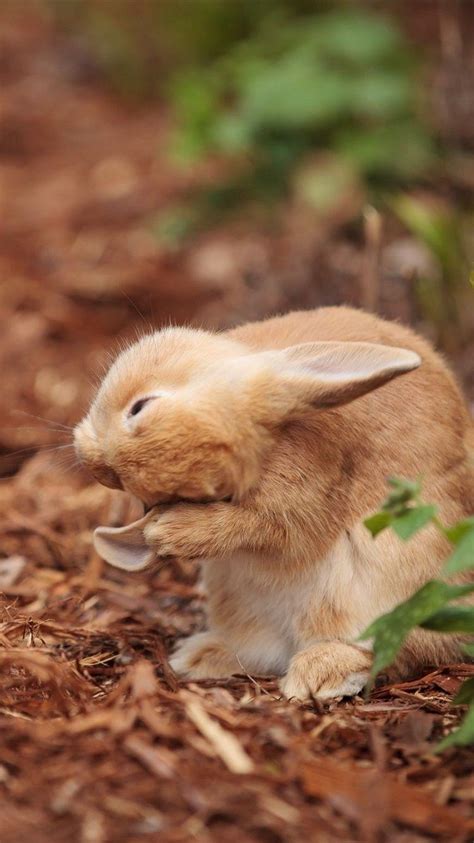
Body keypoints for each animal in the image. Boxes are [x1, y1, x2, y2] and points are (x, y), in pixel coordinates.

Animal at [74, 306, 474, 700]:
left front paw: (169, 533)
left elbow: (263, 528)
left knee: (400, 648)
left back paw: (320, 673)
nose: (95, 464)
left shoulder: (302, 494)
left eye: (140, 407)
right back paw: (200, 656)